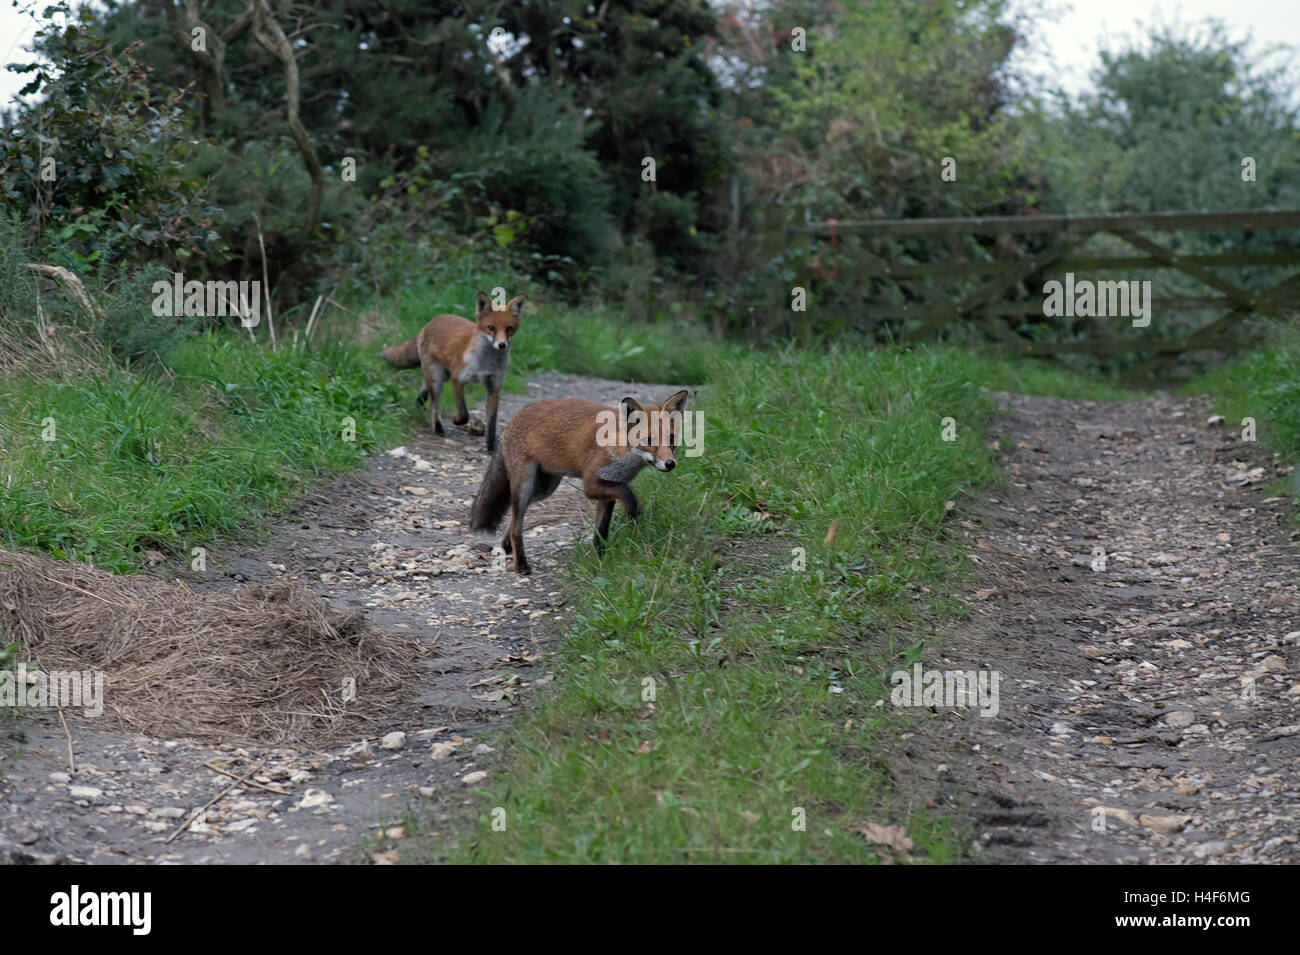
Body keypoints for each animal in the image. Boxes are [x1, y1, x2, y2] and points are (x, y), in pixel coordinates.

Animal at [379, 291, 525, 452]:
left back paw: (420, 400)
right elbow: (464, 413)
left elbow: (492, 424)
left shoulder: (493, 387)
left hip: (443, 375)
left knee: (425, 387)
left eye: (509, 328)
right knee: (433, 406)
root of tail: (430, 322)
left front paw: (492, 447)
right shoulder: (458, 379)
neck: (485, 363)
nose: (501, 345)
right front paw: (456, 420)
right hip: (438, 378)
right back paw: (438, 428)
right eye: (491, 327)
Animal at [470, 390, 690, 575]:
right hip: (525, 484)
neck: (622, 451)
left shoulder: (608, 491)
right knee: (516, 524)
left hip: (544, 488)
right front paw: (633, 512)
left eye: (671, 438)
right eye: (649, 441)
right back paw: (521, 564)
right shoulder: (592, 484)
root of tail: (517, 414)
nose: (670, 464)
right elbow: (628, 494)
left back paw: (506, 545)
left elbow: (600, 533)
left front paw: (601, 561)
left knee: (516, 517)